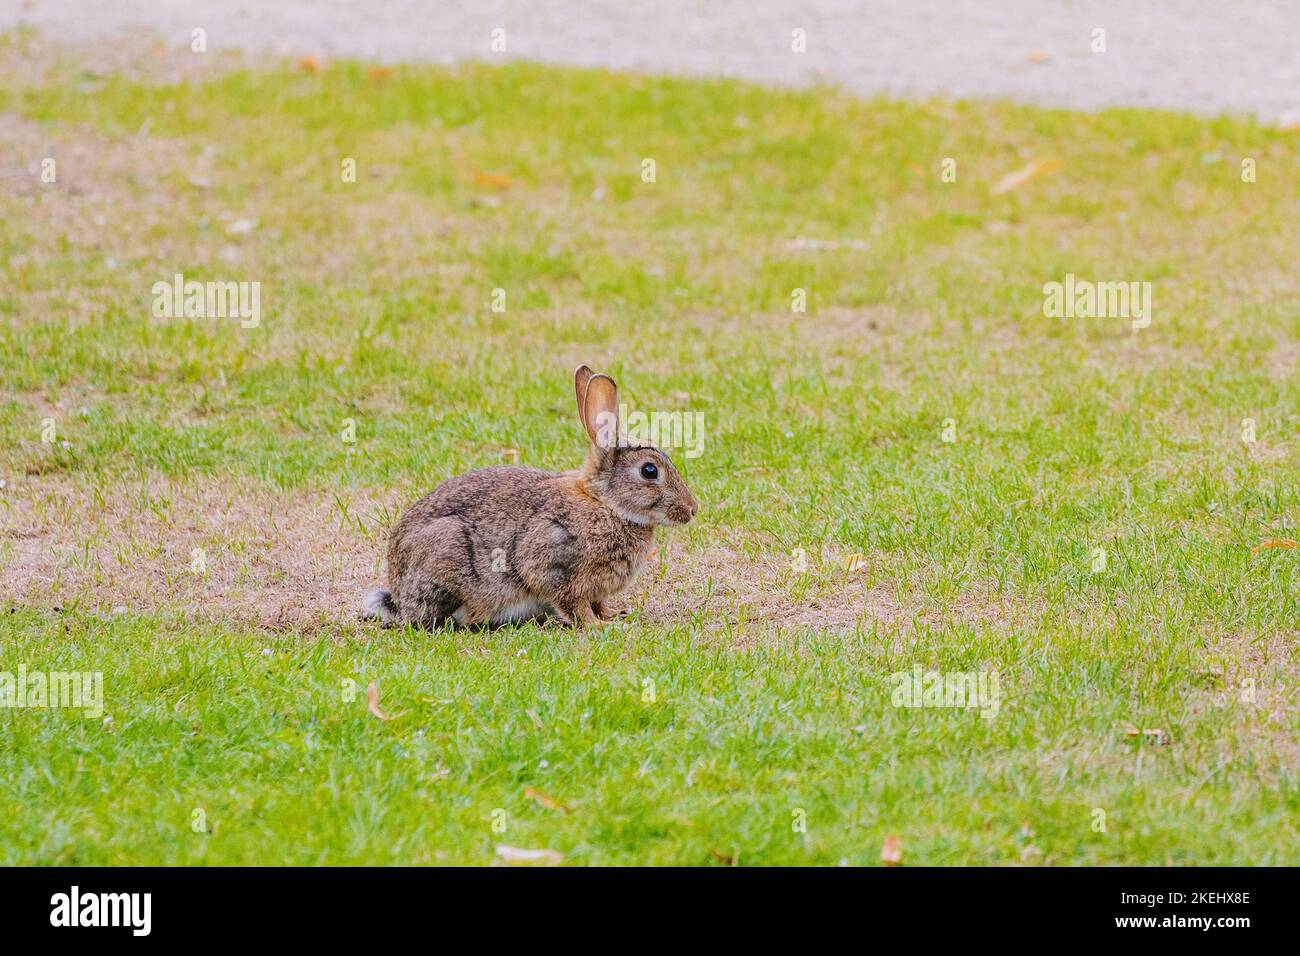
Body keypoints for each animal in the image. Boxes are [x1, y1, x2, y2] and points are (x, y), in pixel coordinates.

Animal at [362, 365, 698, 629]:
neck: (606, 504)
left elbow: (598, 603)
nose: (692, 509)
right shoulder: (553, 561)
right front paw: (598, 626)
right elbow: (573, 602)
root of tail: (397, 596)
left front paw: (613, 615)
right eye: (649, 471)